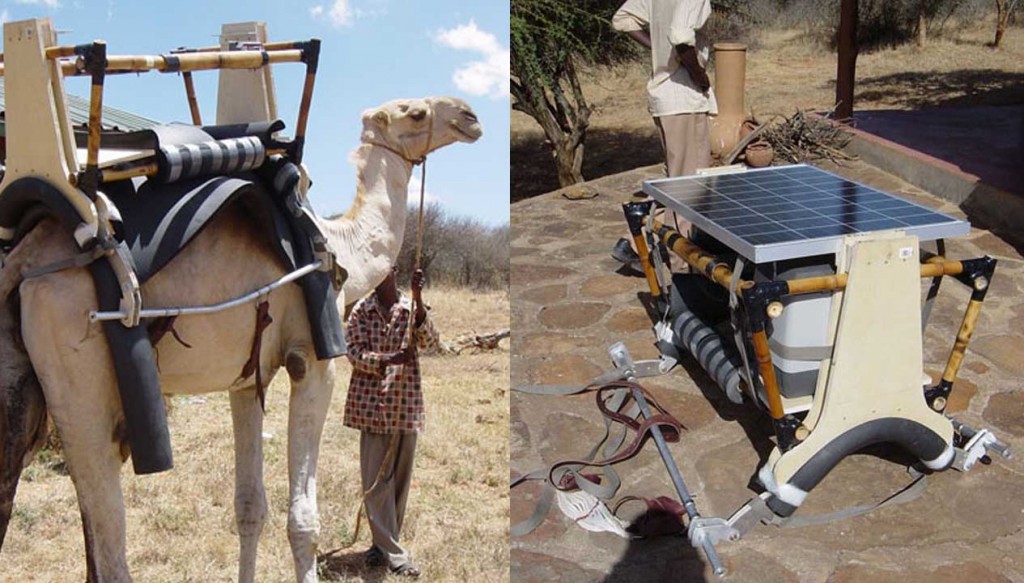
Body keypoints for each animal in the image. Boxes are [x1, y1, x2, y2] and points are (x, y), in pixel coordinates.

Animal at [0, 95, 482, 582]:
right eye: (415, 112)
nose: (469, 116)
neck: (341, 246)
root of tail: (27, 259)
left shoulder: (247, 379)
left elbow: (249, 506)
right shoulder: (315, 362)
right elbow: (303, 520)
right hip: (80, 368)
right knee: (109, 537)